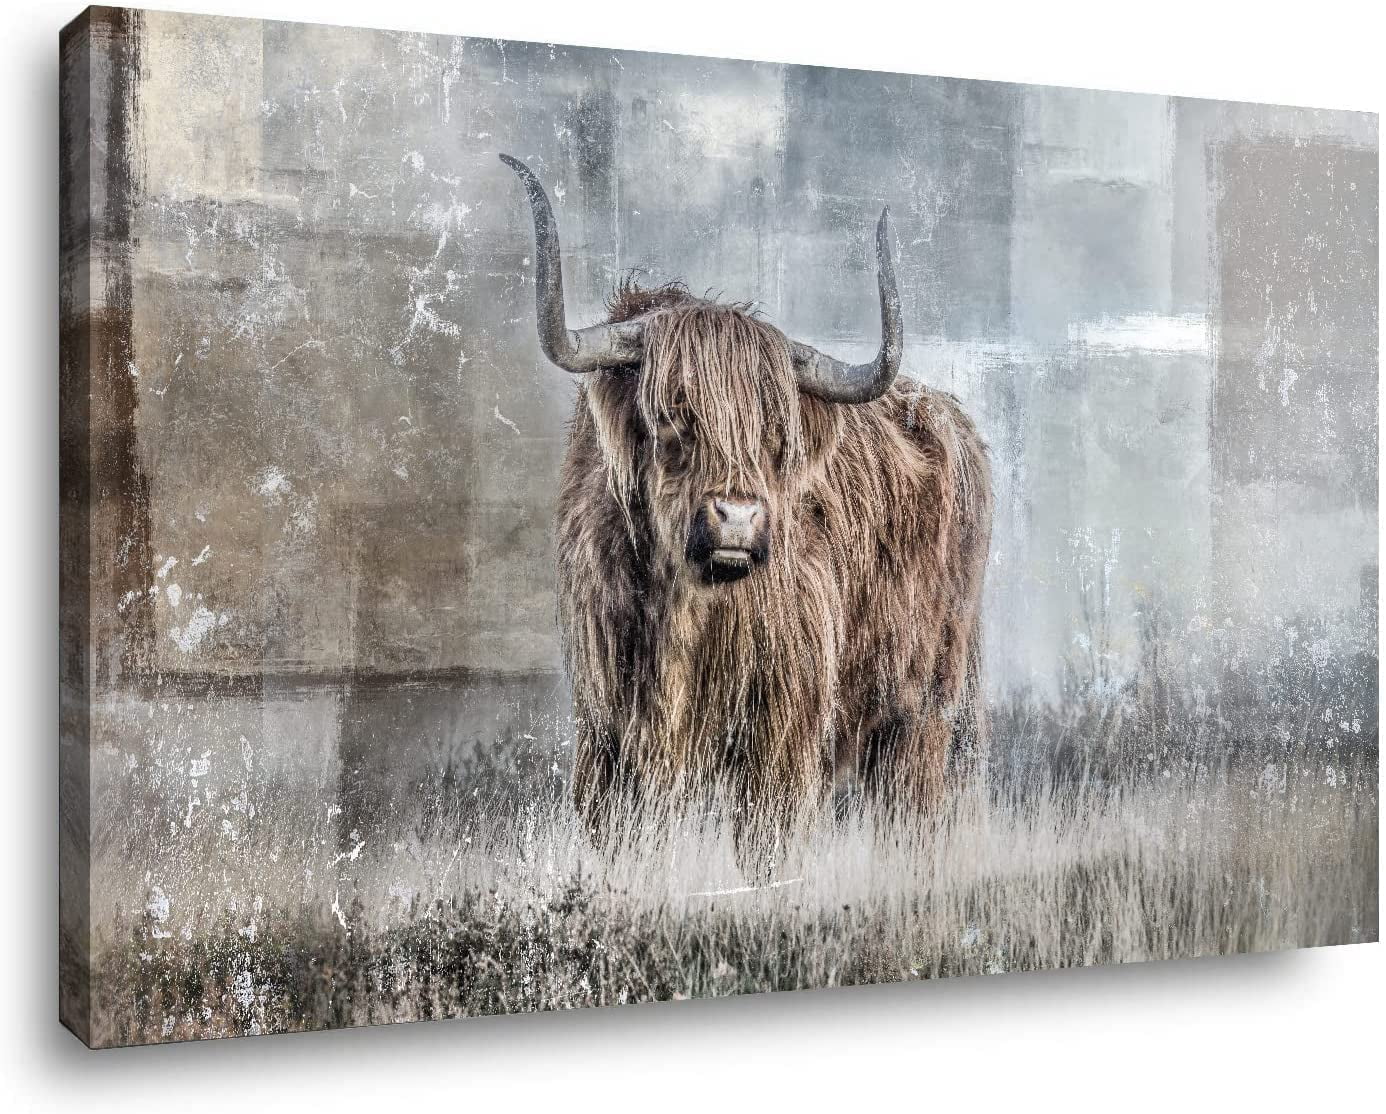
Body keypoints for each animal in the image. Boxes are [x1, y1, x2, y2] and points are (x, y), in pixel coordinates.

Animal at [501, 154, 991, 857]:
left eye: (775, 432)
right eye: (674, 416)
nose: (737, 517)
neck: (688, 606)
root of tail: (951, 416)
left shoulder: (784, 723)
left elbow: (768, 838)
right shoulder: (609, 726)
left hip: (925, 703)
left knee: (913, 804)